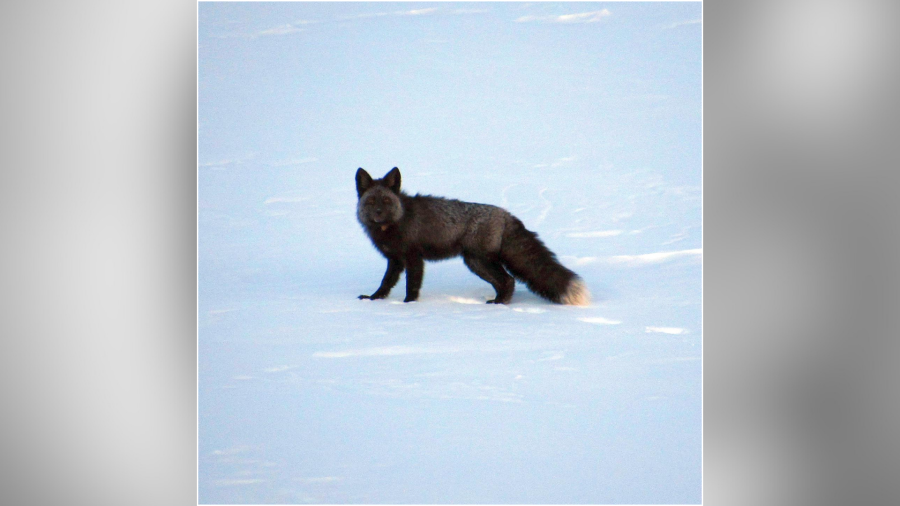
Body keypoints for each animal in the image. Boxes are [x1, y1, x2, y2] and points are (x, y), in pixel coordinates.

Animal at [355, 167, 590, 306]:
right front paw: (374, 299)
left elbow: (411, 286)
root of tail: (506, 214)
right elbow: (386, 282)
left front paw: (408, 306)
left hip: (478, 260)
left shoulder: (414, 258)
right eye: (371, 201)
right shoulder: (395, 259)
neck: (394, 224)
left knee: (509, 279)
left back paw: (499, 304)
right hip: (476, 262)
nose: (378, 214)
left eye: (386, 201)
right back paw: (498, 301)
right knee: (506, 281)